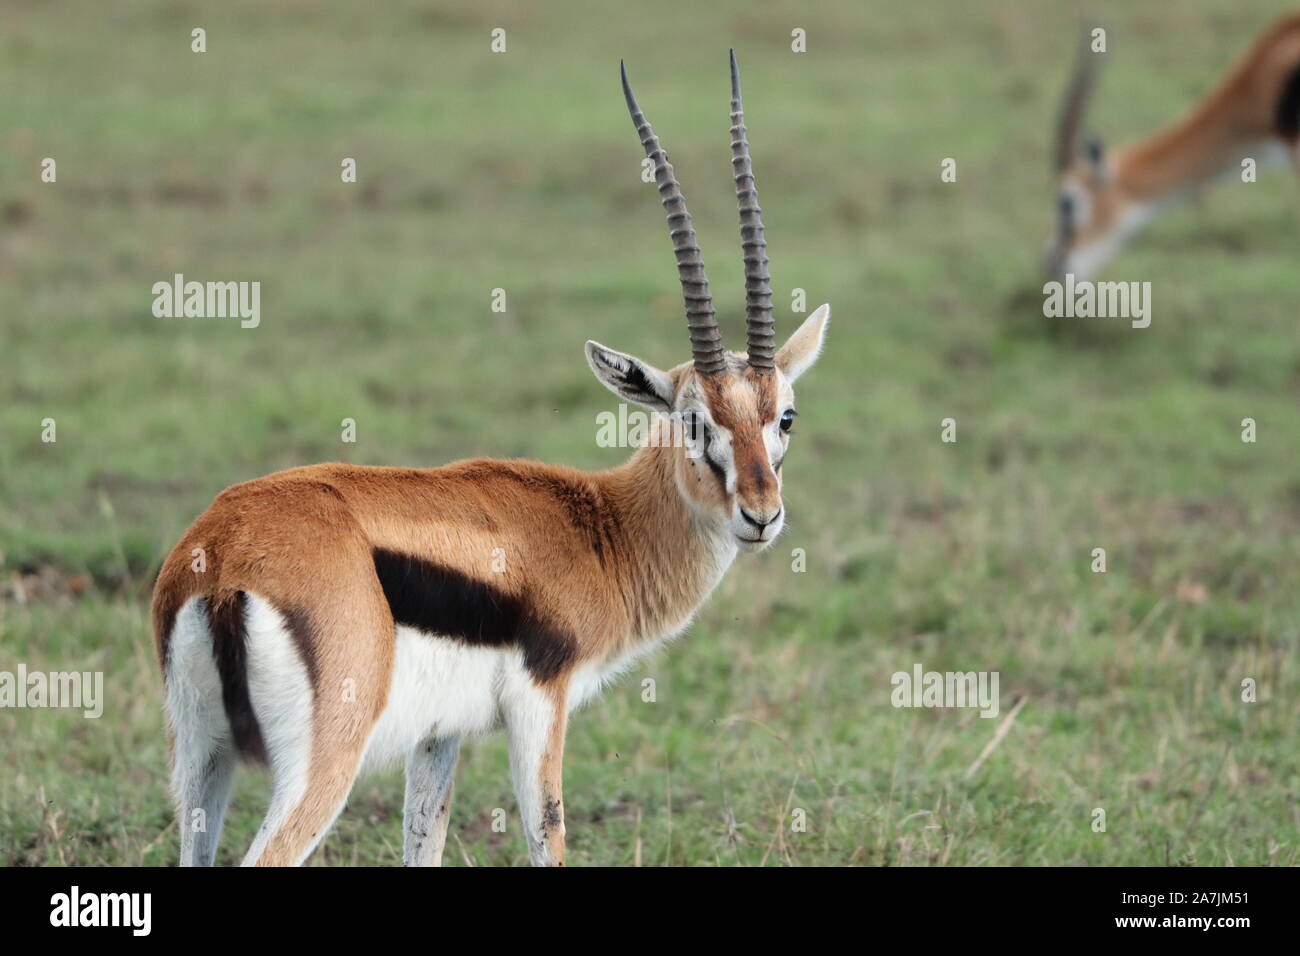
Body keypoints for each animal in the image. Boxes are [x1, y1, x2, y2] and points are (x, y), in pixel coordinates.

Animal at [150, 51, 830, 868]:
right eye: (696, 422)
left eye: (783, 415)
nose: (761, 515)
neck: (597, 527)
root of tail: (222, 556)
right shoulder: (541, 702)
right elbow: (548, 834)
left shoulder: (438, 734)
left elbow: (425, 839)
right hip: (321, 763)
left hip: (201, 758)